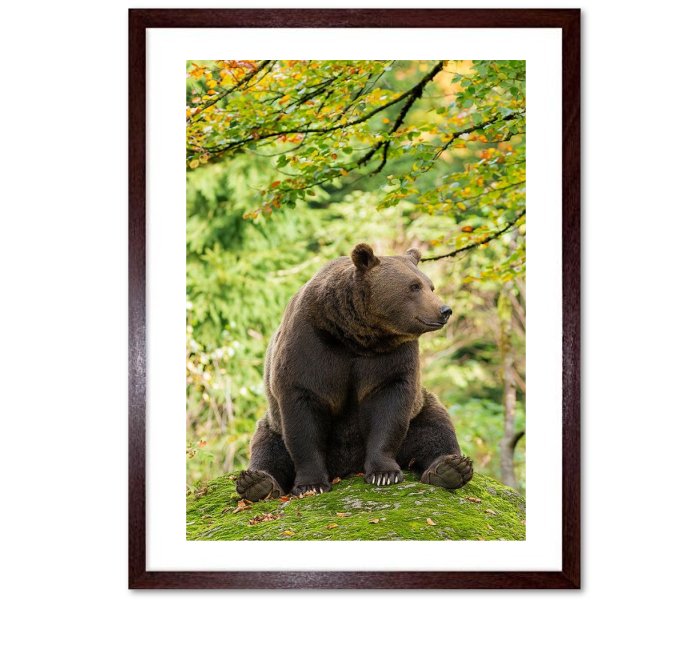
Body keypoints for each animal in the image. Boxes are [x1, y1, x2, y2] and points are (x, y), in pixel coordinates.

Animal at [235, 243, 473, 501]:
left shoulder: (390, 358)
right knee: (267, 448)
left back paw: (450, 468)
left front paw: (384, 473)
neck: (357, 335)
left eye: (430, 286)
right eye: (414, 286)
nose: (444, 310)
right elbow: (303, 418)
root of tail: (347, 468)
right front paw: (311, 484)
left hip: (419, 412)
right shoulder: (309, 347)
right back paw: (257, 482)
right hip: (272, 423)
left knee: (435, 428)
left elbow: (389, 407)